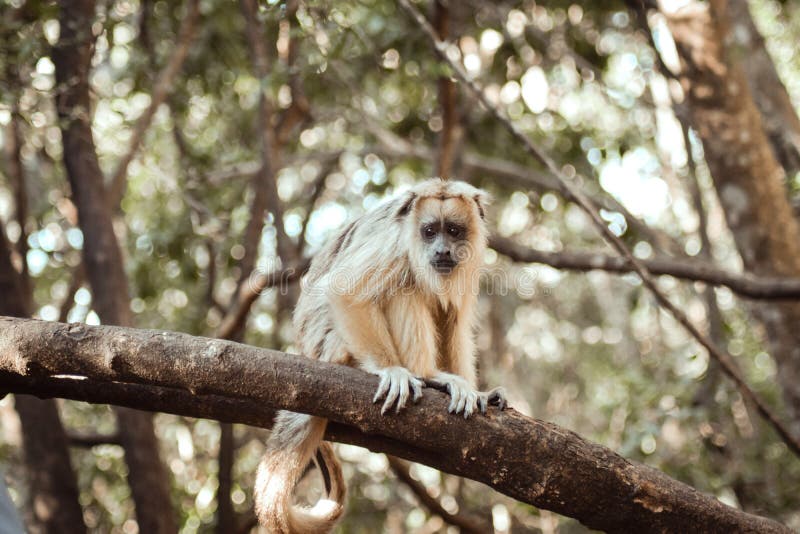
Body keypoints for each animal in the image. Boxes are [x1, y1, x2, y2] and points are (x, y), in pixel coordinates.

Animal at [254, 178, 507, 533]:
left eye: (454, 231)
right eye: (430, 231)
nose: (441, 250)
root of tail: (307, 351)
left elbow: (454, 318)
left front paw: (478, 392)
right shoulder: (394, 244)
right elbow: (344, 291)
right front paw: (393, 371)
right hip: (334, 346)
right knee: (404, 285)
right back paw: (428, 374)